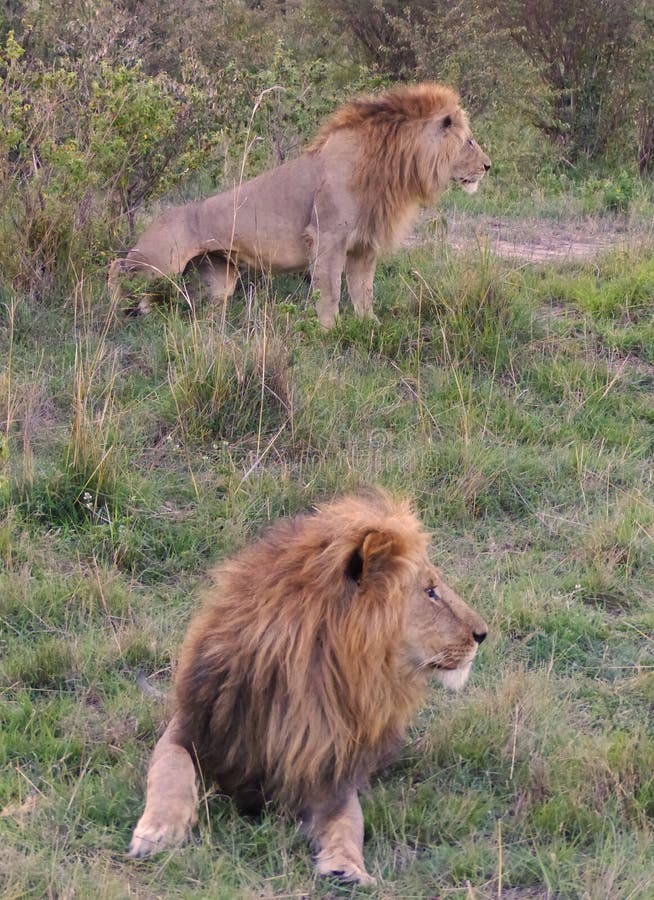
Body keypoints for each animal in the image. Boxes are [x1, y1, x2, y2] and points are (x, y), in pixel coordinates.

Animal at [109, 83, 490, 326]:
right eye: (470, 141)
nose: (488, 166)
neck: (391, 168)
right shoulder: (327, 236)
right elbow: (331, 290)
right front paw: (329, 329)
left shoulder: (364, 246)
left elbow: (363, 290)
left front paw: (372, 325)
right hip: (161, 263)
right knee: (117, 267)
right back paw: (117, 304)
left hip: (219, 279)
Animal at [127, 490, 488, 885]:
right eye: (431, 591)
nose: (483, 634)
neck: (309, 677)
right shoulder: (194, 727)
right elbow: (171, 769)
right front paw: (157, 833)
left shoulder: (328, 770)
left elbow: (349, 821)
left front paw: (347, 865)